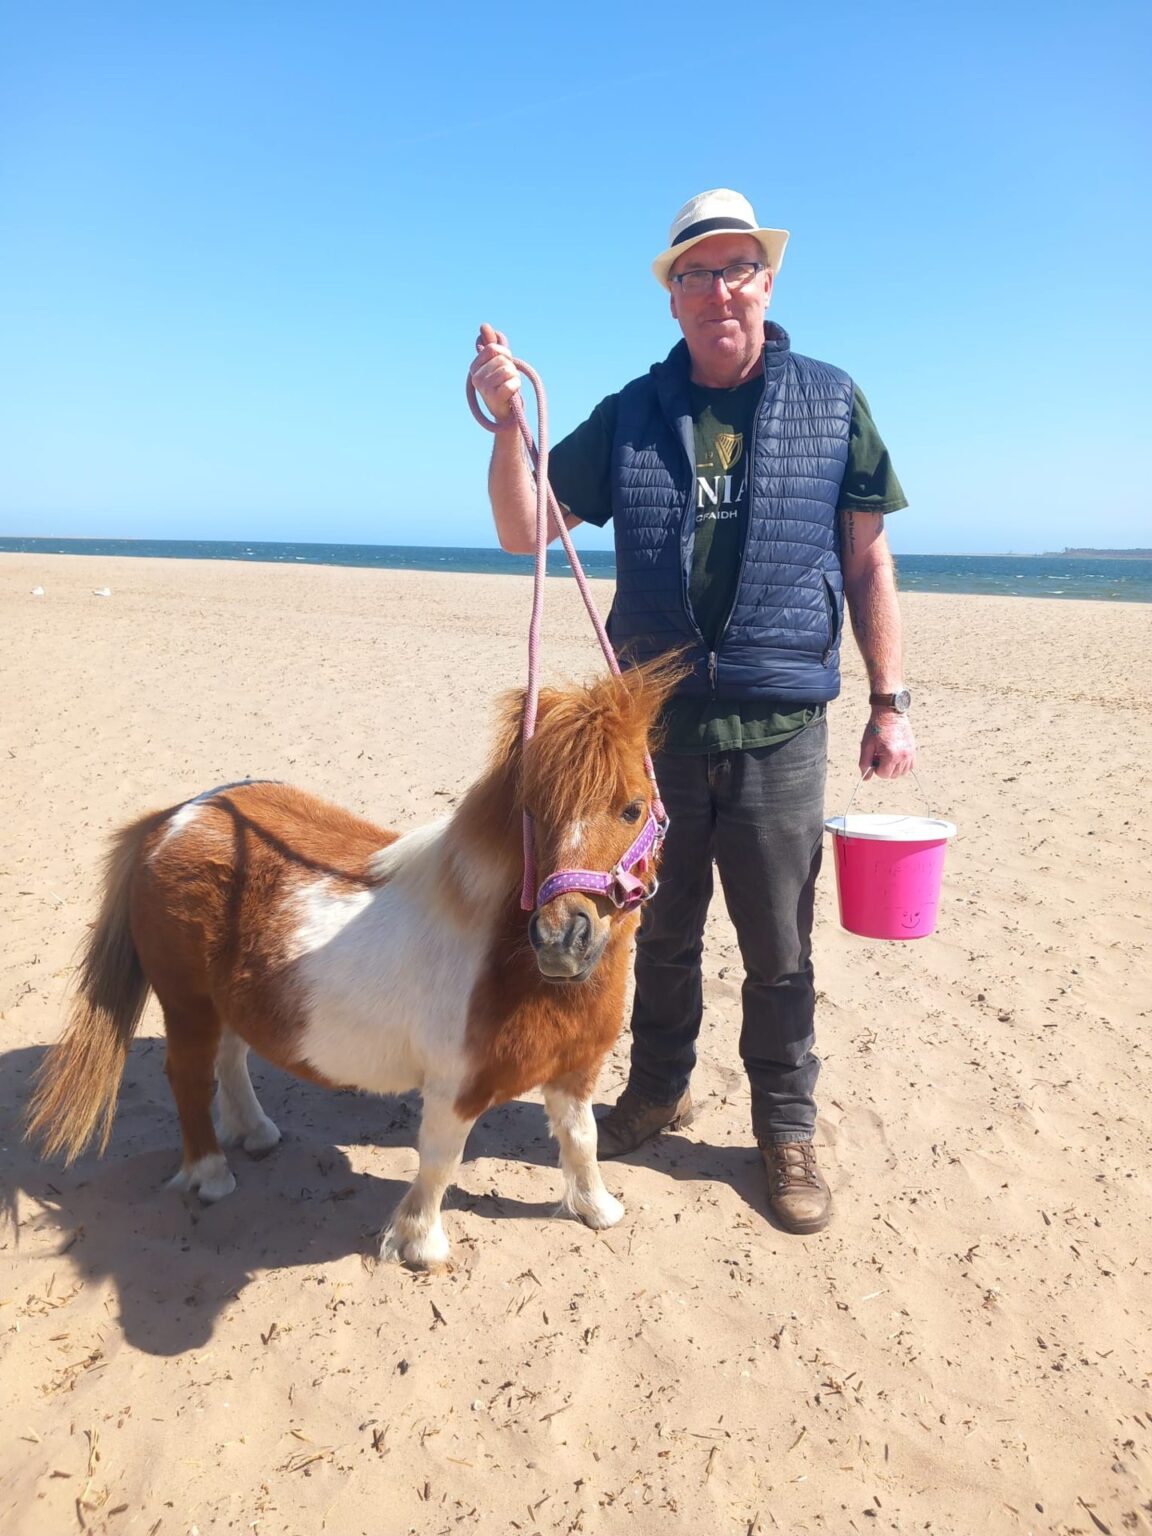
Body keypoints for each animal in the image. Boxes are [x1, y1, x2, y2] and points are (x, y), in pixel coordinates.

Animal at [26, 660, 681, 1269]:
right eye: (531, 814)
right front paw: (420, 1244)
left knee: (230, 1057)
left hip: (229, 1000)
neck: (512, 966)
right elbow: (440, 1161)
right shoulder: (456, 1087)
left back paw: (256, 1133)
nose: (561, 939)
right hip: (186, 1004)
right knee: (188, 1076)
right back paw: (212, 1174)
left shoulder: (575, 1070)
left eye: (632, 809)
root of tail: (172, 818)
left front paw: (597, 1209)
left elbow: (581, 1139)